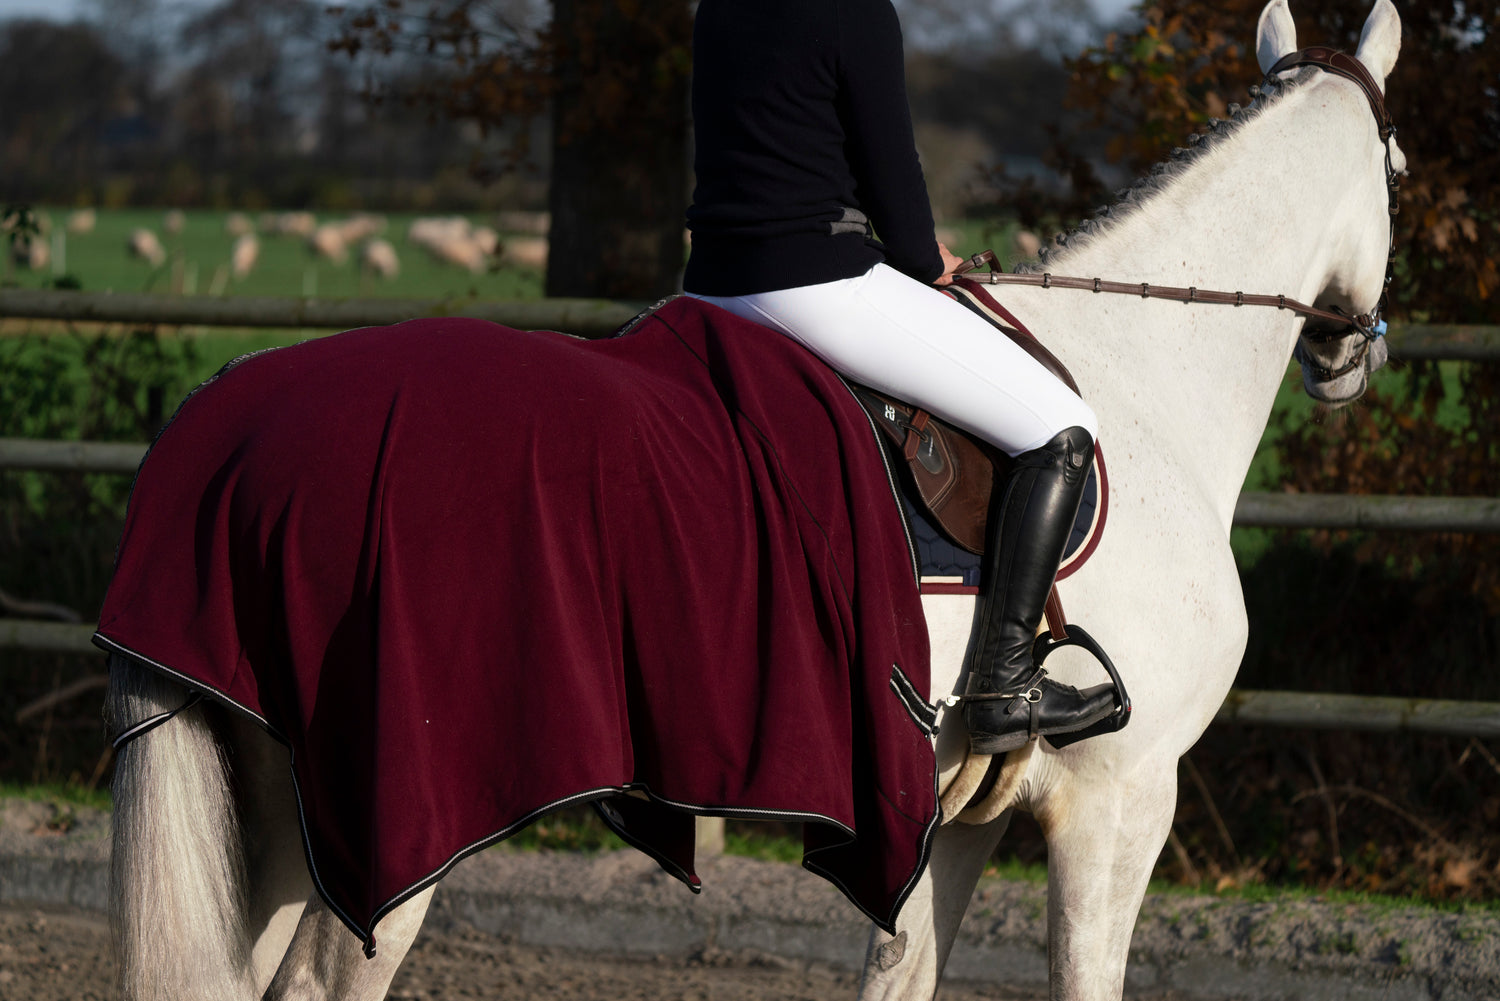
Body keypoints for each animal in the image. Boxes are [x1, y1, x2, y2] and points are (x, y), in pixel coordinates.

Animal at [103, 1, 1404, 998]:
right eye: (1398, 168)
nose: (1350, 361)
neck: (1142, 370)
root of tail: (227, 439)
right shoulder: (1121, 796)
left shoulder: (961, 808)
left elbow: (902, 977)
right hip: (392, 821)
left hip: (269, 804)